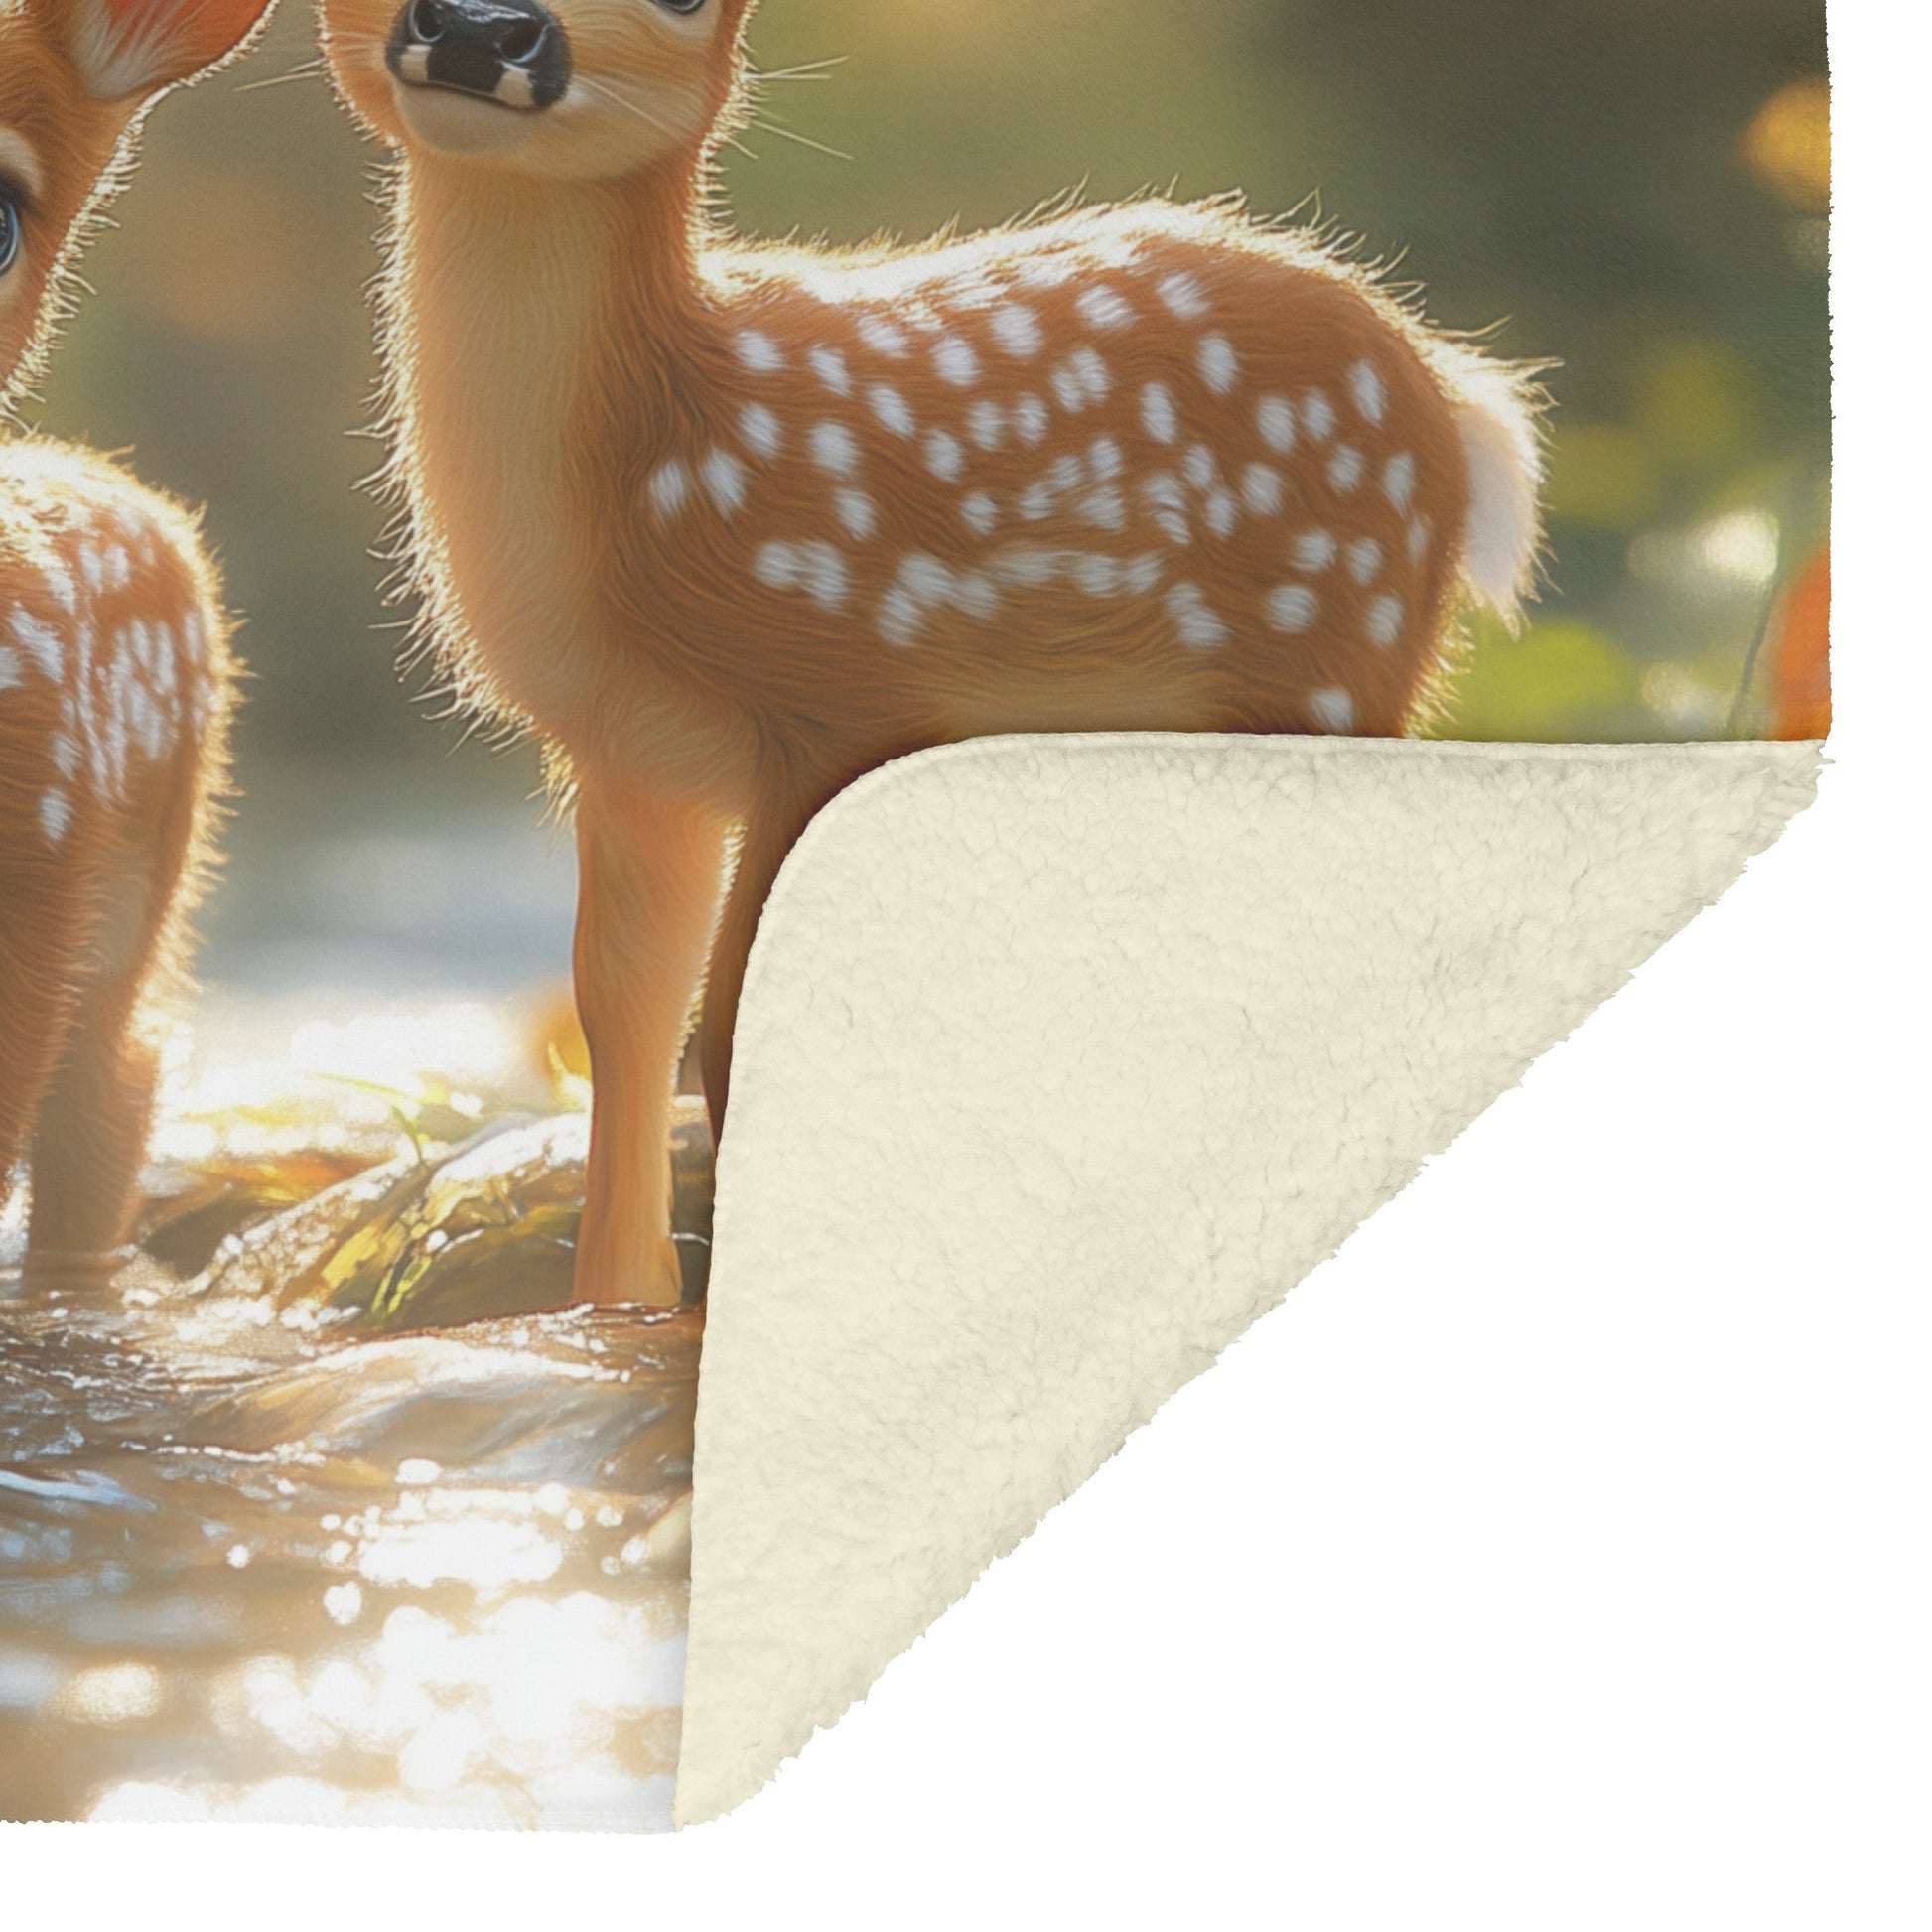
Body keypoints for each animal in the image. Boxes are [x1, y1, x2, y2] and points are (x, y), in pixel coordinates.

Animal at [314, 0, 1544, 1310]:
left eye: (693, 0)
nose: (479, 27)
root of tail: (1458, 400)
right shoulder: (630, 751)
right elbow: (625, 1012)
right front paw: (616, 1307)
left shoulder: (843, 694)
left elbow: (742, 1018)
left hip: (1325, 655)